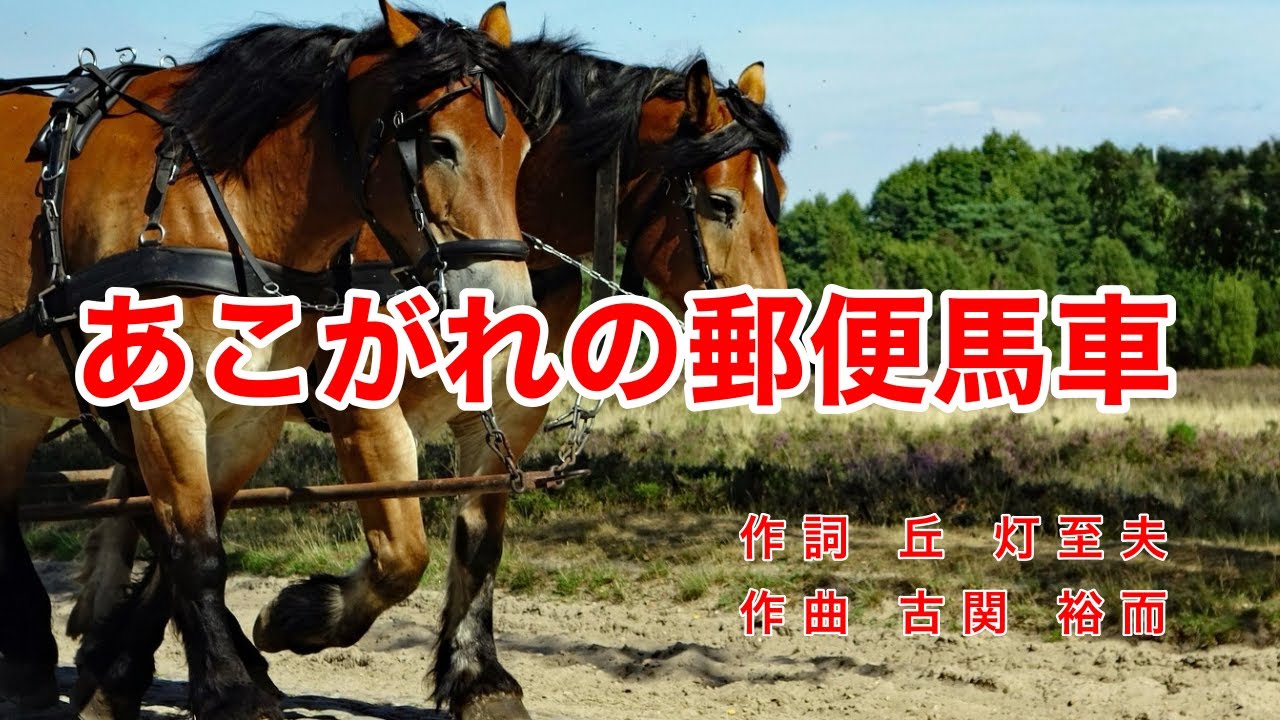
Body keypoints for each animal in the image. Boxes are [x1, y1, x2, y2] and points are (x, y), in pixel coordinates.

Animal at [0, 3, 533, 718]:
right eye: (440, 145)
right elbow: (194, 551)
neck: (226, 204)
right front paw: (234, 687)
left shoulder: (250, 416)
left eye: (522, 152)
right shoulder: (166, 403)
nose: (506, 305)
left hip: (20, 400)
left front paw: (115, 680)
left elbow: (182, 547)